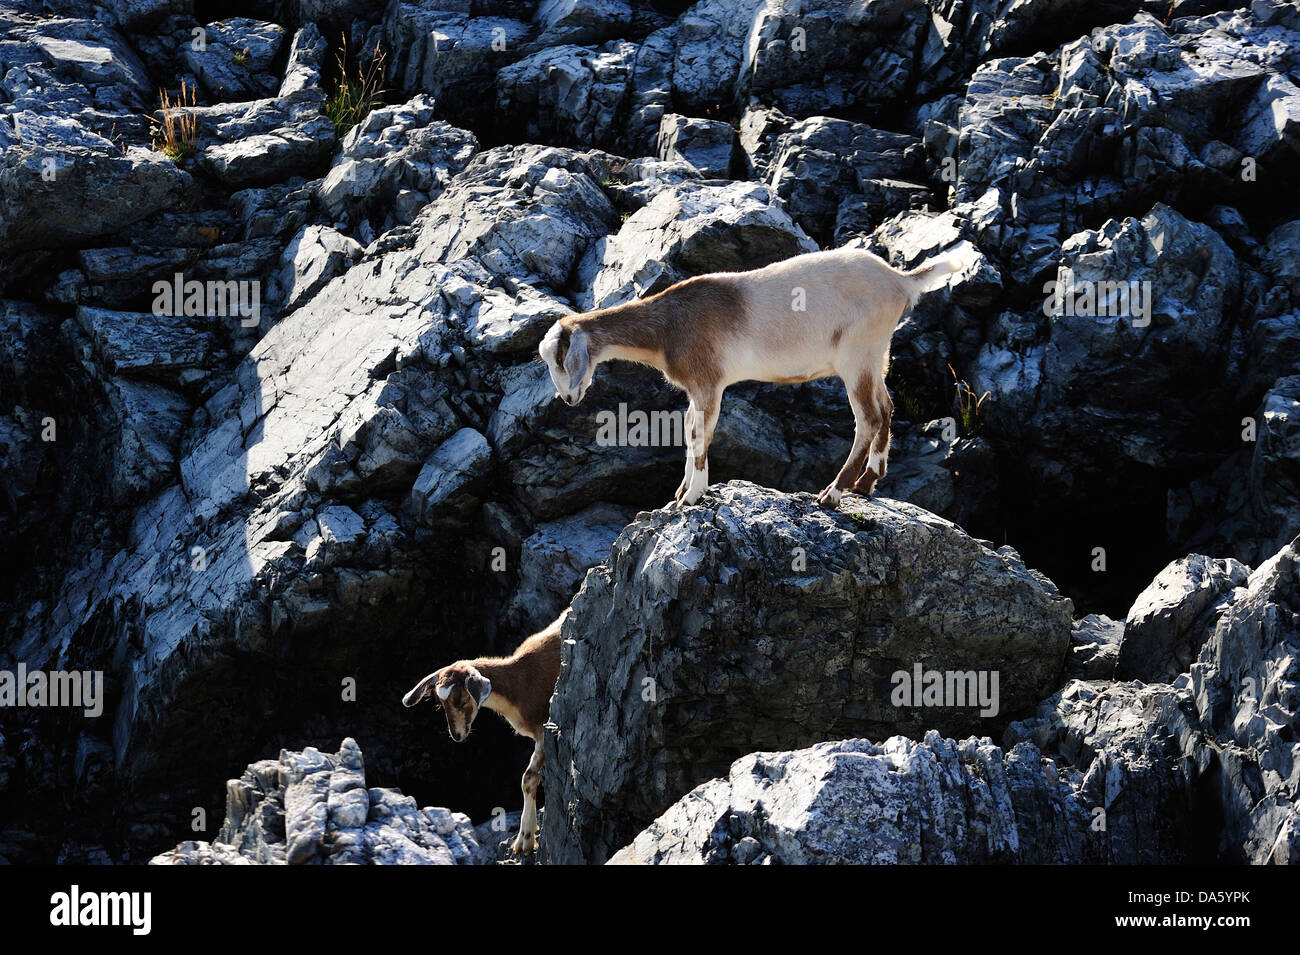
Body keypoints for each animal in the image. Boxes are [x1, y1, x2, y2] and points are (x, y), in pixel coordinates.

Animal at [402, 611, 565, 856]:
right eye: (440, 703)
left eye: (461, 699)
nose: (457, 735)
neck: (522, 682)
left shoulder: (544, 729)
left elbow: (528, 778)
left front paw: (525, 839)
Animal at [539, 245, 971, 507]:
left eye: (559, 358)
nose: (568, 399)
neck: (669, 326)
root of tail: (900, 281)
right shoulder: (696, 391)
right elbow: (688, 433)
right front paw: (680, 493)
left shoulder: (708, 384)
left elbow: (700, 436)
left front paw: (691, 497)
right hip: (876, 355)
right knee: (887, 407)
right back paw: (867, 483)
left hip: (856, 356)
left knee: (869, 418)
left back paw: (833, 493)